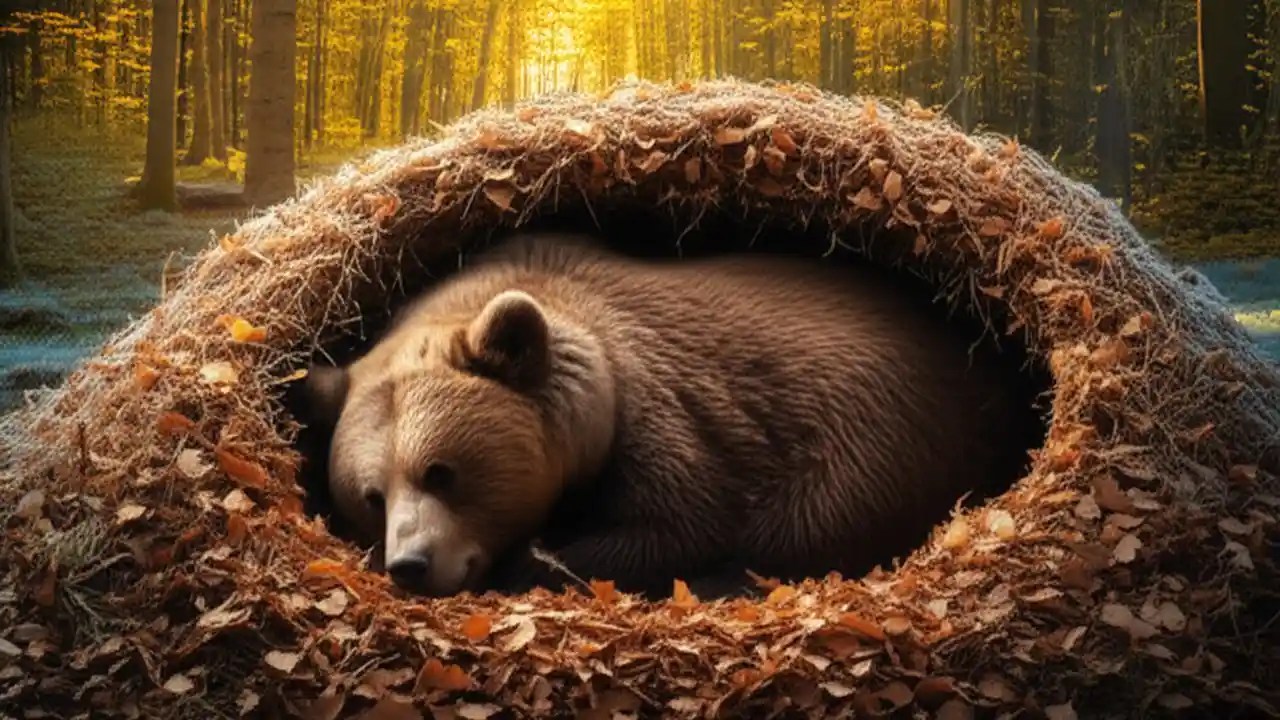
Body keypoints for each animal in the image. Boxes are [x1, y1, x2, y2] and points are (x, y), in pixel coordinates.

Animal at [302, 231, 1038, 599]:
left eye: (442, 471)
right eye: (369, 495)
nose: (411, 564)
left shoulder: (669, 413)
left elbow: (683, 523)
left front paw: (542, 557)